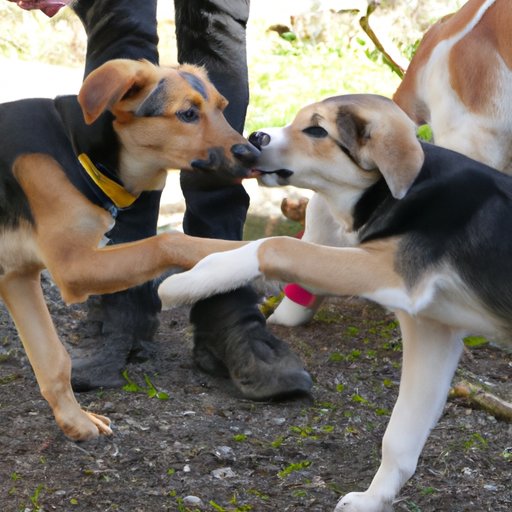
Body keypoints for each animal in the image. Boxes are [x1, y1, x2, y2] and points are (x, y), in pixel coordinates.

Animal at [0, 59, 258, 440]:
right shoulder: (74, 267)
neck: (77, 148)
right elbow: (170, 240)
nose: (255, 153)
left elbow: (53, 359)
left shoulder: (18, 276)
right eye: (187, 114)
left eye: (223, 108)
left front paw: (75, 421)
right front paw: (245, 252)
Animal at [158, 93, 512, 512]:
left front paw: (187, 282)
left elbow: (277, 245)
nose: (256, 136)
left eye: (316, 130)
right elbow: (400, 435)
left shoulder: (385, 270)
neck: (392, 191)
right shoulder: (431, 330)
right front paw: (374, 499)